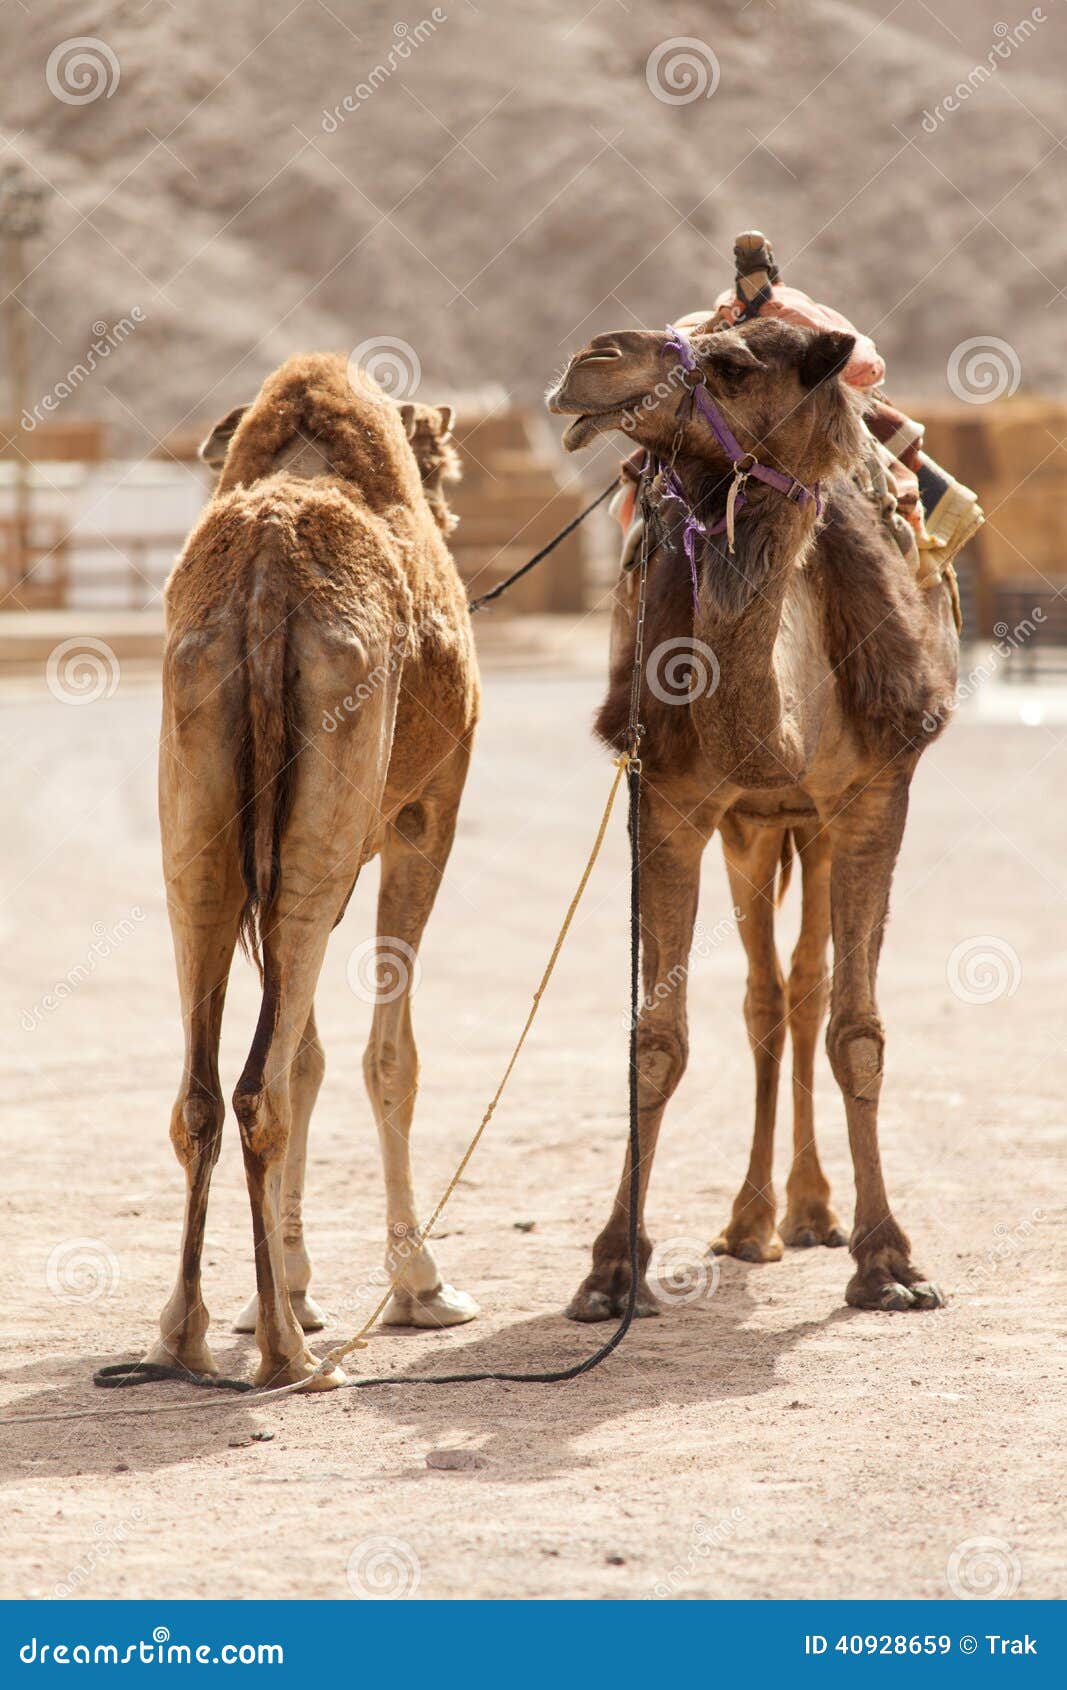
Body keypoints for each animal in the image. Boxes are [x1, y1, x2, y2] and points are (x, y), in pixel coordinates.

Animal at [148, 356, 479, 1390]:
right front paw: (419, 1288)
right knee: (259, 1085)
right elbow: (386, 1058)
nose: (449, 510)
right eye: (441, 468)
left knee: (210, 1088)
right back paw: (290, 1358)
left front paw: (289, 1289)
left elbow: (308, 1056)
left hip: (196, 794)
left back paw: (184, 1335)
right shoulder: (425, 809)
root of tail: (263, 584)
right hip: (340, 767)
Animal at [547, 316, 959, 1320]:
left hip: (810, 827)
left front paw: (890, 1264)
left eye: (730, 366)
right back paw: (753, 1222)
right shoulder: (670, 802)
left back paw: (813, 1213)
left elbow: (859, 1030)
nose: (590, 360)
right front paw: (612, 1269)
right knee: (768, 999)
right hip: (754, 831)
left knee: (806, 991)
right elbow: (655, 1040)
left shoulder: (874, 795)